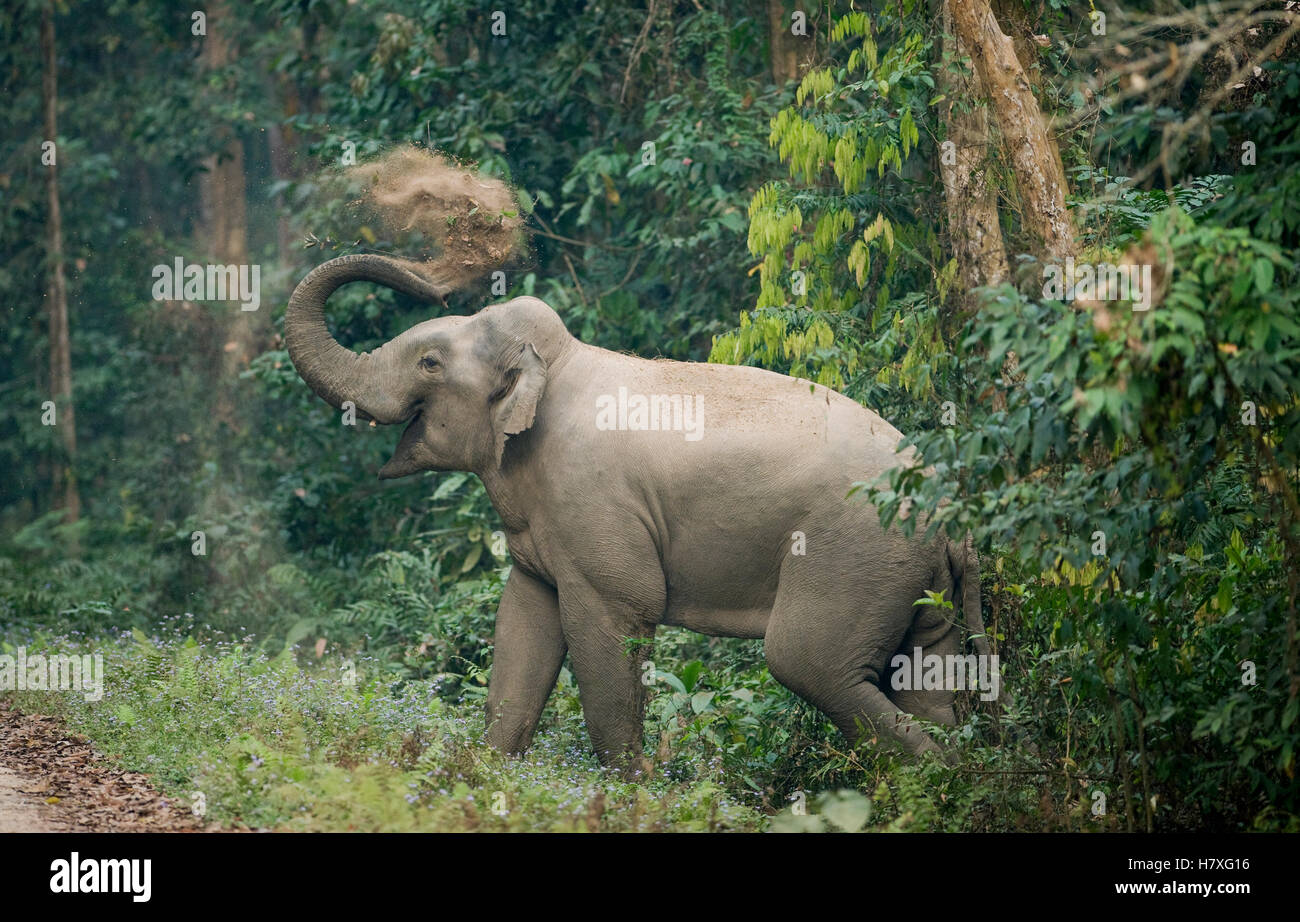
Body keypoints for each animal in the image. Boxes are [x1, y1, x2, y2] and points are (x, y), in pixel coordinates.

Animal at [285, 253, 990, 773]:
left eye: (430, 362)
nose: (432, 283)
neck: (558, 362)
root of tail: (952, 511)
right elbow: (523, 626)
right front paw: (486, 777)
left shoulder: (595, 510)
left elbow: (614, 617)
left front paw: (629, 789)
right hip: (912, 579)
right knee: (925, 680)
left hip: (856, 553)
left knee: (808, 663)